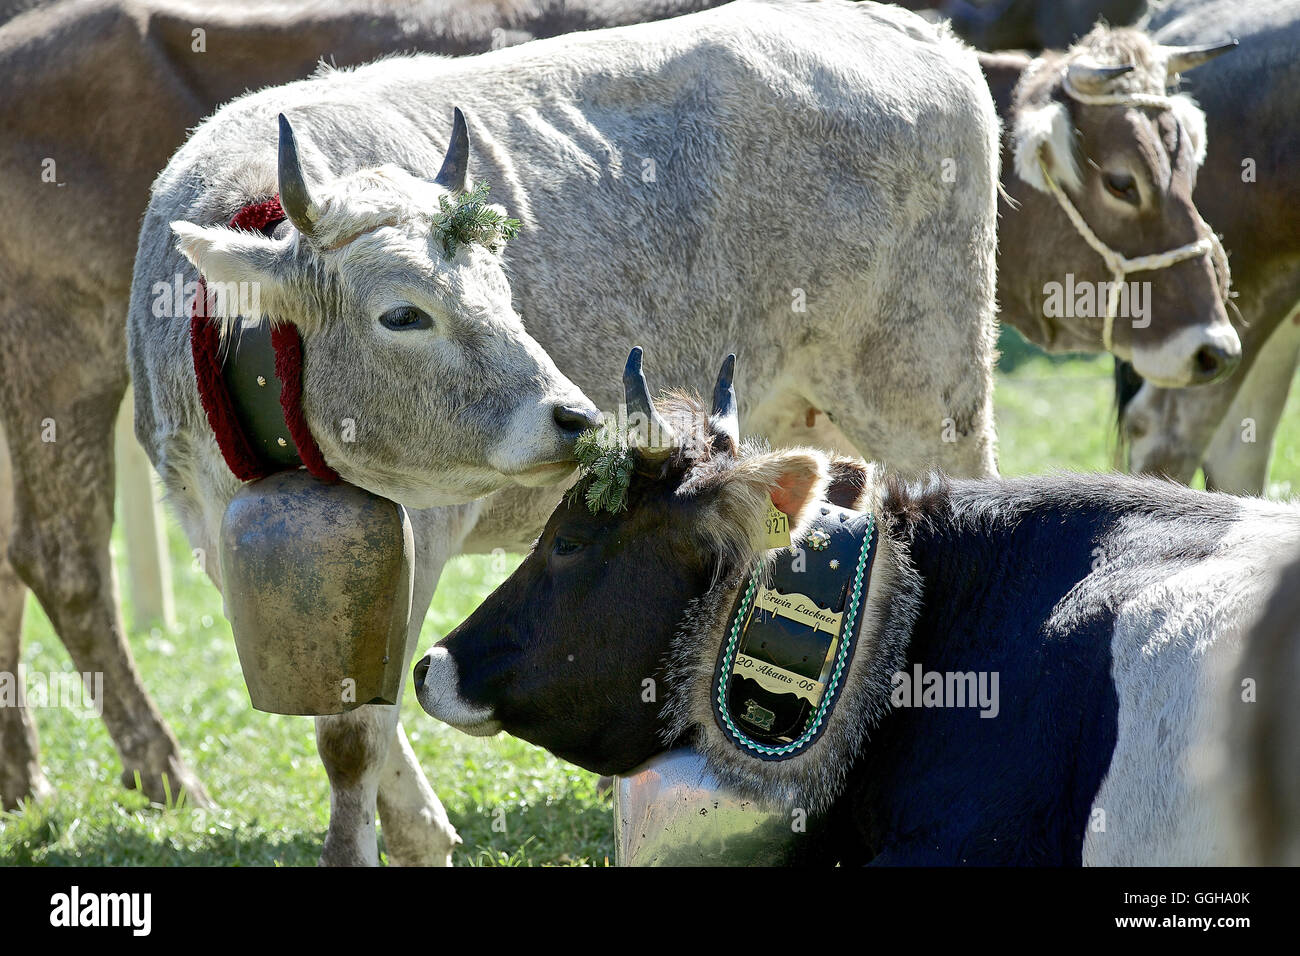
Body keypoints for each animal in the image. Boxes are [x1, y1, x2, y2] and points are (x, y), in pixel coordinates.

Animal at [0, 0, 729, 819]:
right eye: (403, 315)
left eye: (503, 289)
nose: (576, 418)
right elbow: (351, 717)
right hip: (54, 362)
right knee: (60, 558)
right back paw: (161, 771)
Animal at [125, 0, 1002, 864]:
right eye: (403, 314)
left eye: (503, 289)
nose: (575, 415)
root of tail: (905, 27)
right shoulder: (213, 534)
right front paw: (420, 832)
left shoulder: (419, 533)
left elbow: (354, 734)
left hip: (928, 397)